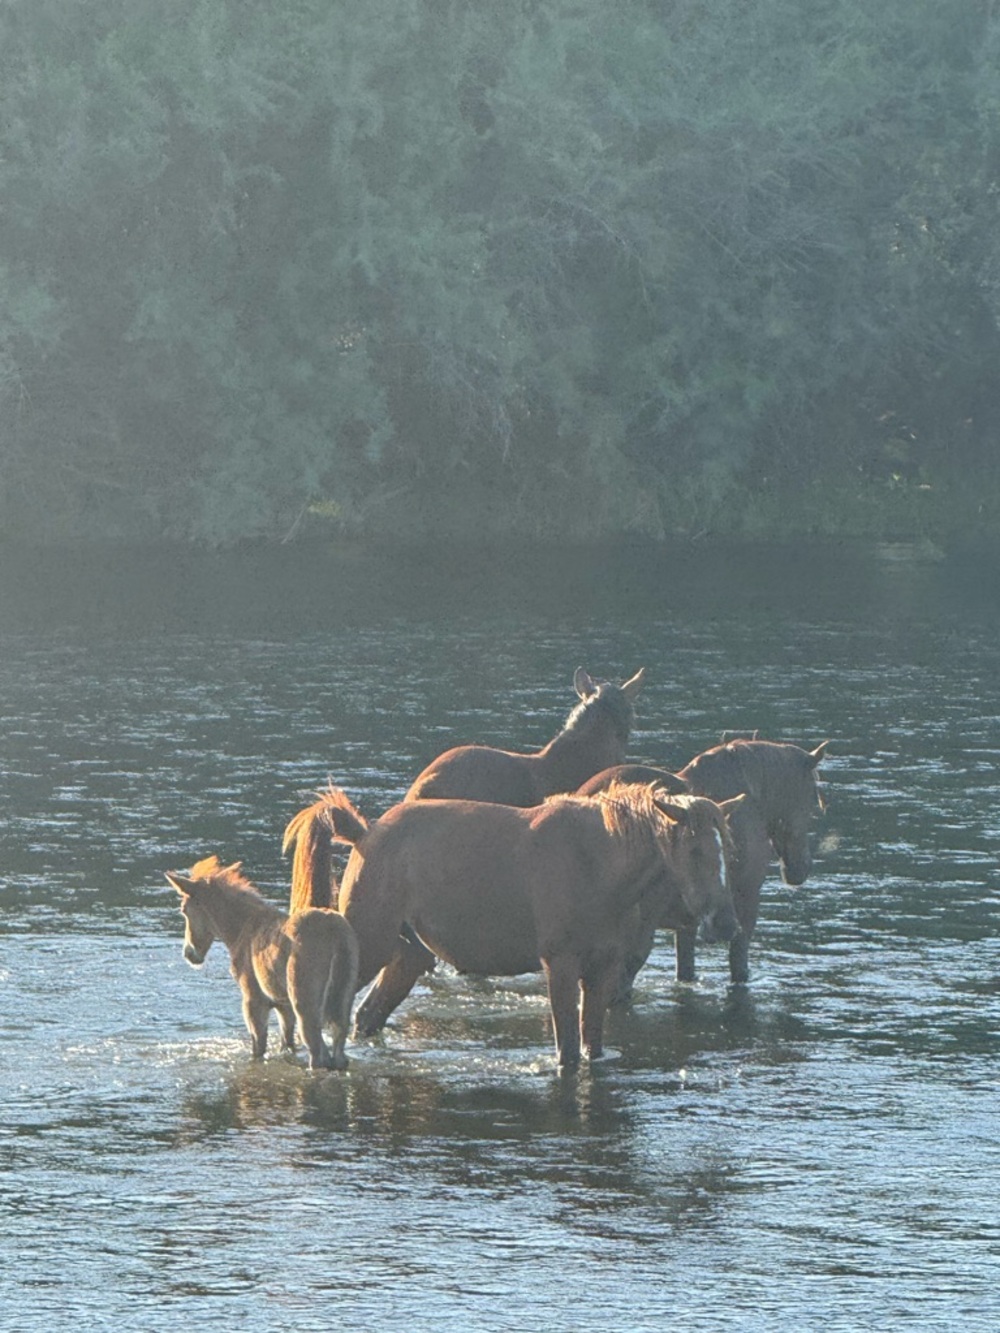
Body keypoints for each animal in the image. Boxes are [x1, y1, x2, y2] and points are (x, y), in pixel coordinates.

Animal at [166, 856, 359, 1071]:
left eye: (184, 910)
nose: (189, 953)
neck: (237, 931)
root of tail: (337, 936)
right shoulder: (283, 1005)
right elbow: (287, 1043)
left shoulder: (253, 999)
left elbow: (258, 1047)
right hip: (342, 1002)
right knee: (339, 1054)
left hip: (305, 1004)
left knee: (318, 1055)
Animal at [303, 782, 739, 1069]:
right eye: (695, 849)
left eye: (727, 847)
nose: (725, 923)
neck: (596, 862)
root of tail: (365, 833)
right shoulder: (561, 965)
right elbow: (567, 1052)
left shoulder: (604, 969)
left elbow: (591, 1047)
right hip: (368, 946)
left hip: (407, 957)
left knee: (366, 1017)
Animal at [579, 739, 827, 985]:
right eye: (812, 797)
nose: (800, 868)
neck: (755, 806)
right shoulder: (746, 907)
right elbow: (739, 967)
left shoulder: (688, 923)